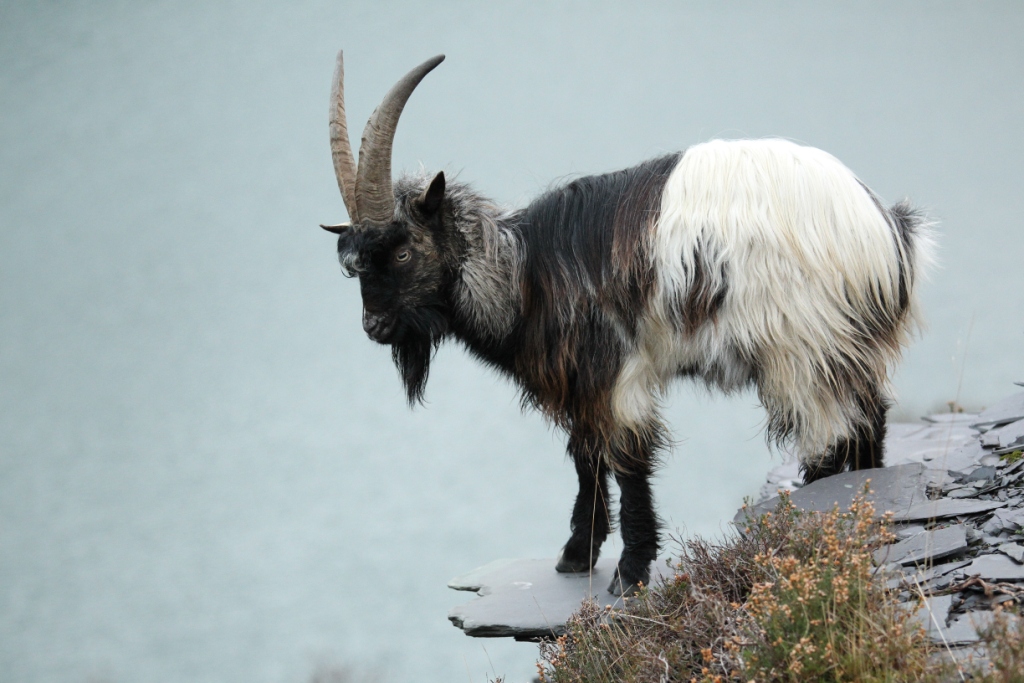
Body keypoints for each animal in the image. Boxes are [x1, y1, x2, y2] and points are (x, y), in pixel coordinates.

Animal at [319, 52, 932, 595]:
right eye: (354, 265)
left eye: (402, 252)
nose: (374, 326)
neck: (526, 272)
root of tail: (887, 232)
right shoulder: (580, 383)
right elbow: (585, 457)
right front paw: (576, 556)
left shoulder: (615, 371)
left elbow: (628, 459)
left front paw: (630, 574)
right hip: (845, 345)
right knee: (870, 418)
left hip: (803, 347)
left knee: (832, 431)